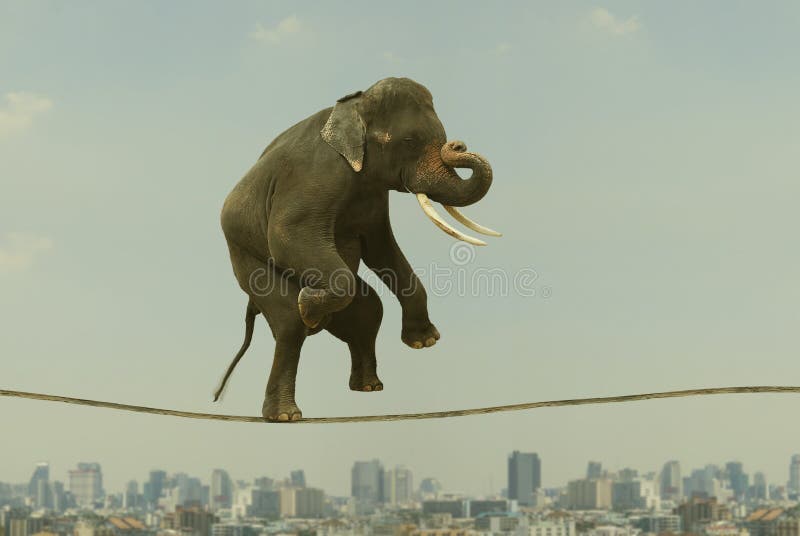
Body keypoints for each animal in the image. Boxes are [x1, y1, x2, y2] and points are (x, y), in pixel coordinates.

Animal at [214, 77, 499, 421]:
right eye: (409, 141)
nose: (458, 145)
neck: (354, 107)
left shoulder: (373, 193)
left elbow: (380, 247)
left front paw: (424, 342)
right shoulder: (316, 175)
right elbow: (286, 237)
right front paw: (308, 306)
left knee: (369, 309)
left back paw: (368, 386)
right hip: (244, 256)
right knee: (289, 323)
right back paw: (286, 411)